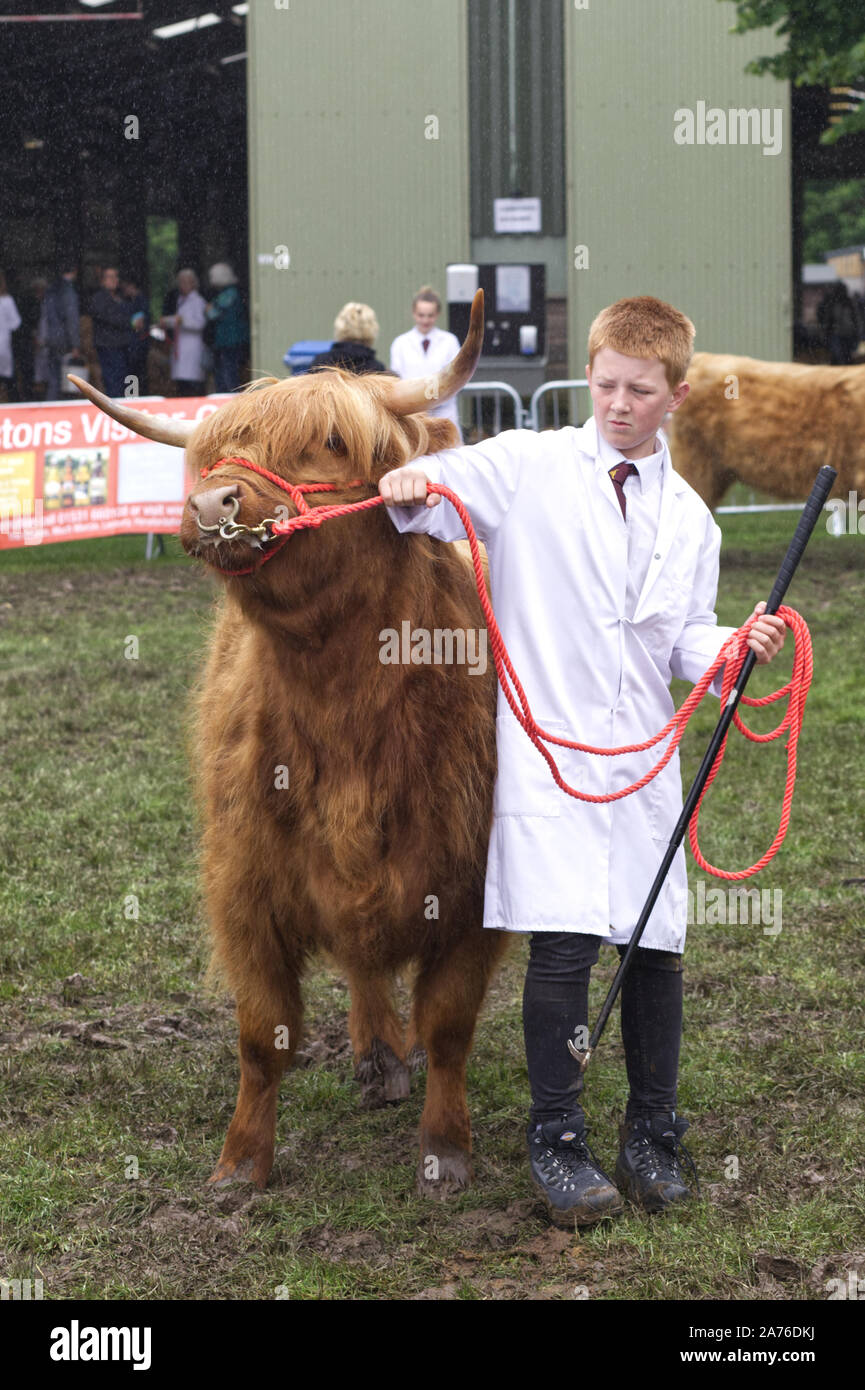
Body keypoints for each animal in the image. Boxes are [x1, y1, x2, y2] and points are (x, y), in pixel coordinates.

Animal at [70, 291, 509, 1198]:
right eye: (210, 453)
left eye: (333, 443)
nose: (210, 507)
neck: (344, 710)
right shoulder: (247, 881)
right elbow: (261, 1033)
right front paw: (240, 1164)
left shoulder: (471, 882)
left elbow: (448, 1024)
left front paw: (445, 1149)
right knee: (363, 961)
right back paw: (377, 1055)